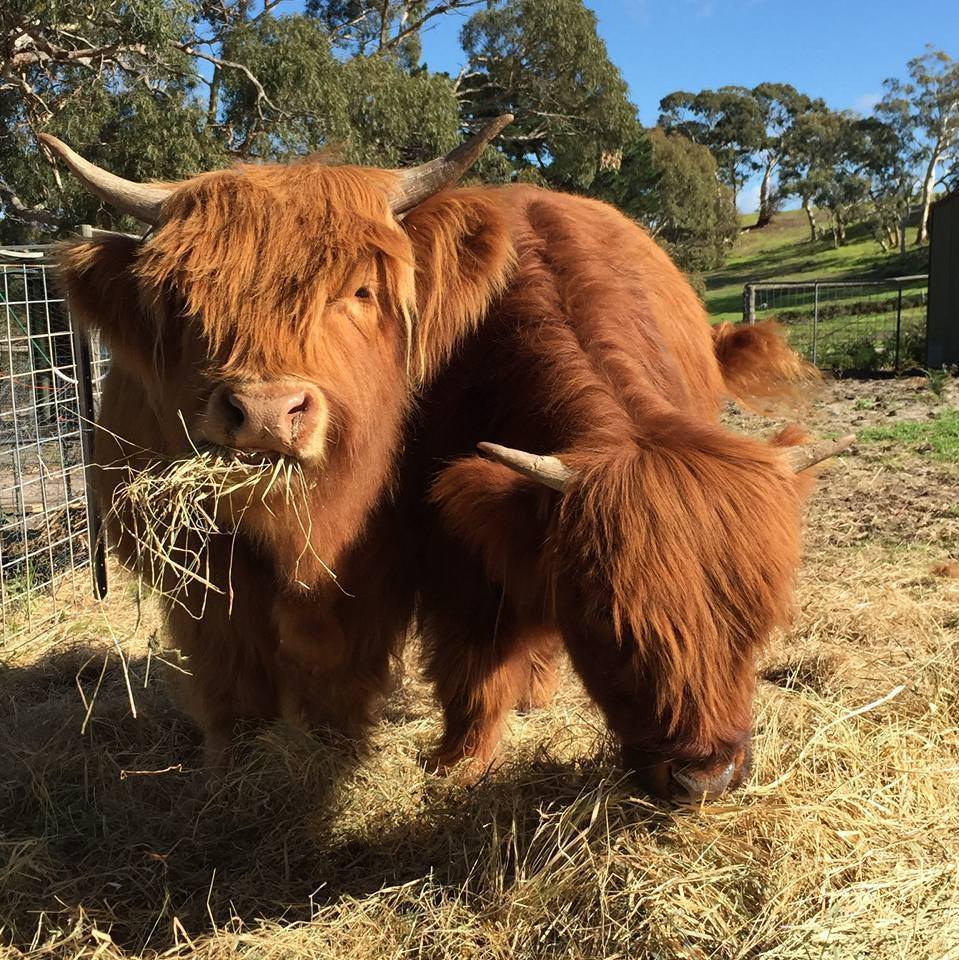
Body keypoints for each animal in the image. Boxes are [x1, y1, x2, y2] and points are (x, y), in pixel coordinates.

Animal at [43, 118, 844, 802]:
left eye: (757, 620)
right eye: (611, 626)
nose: (706, 777)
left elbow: (460, 669)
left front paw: (452, 762)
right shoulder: (219, 565)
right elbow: (243, 674)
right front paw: (246, 771)